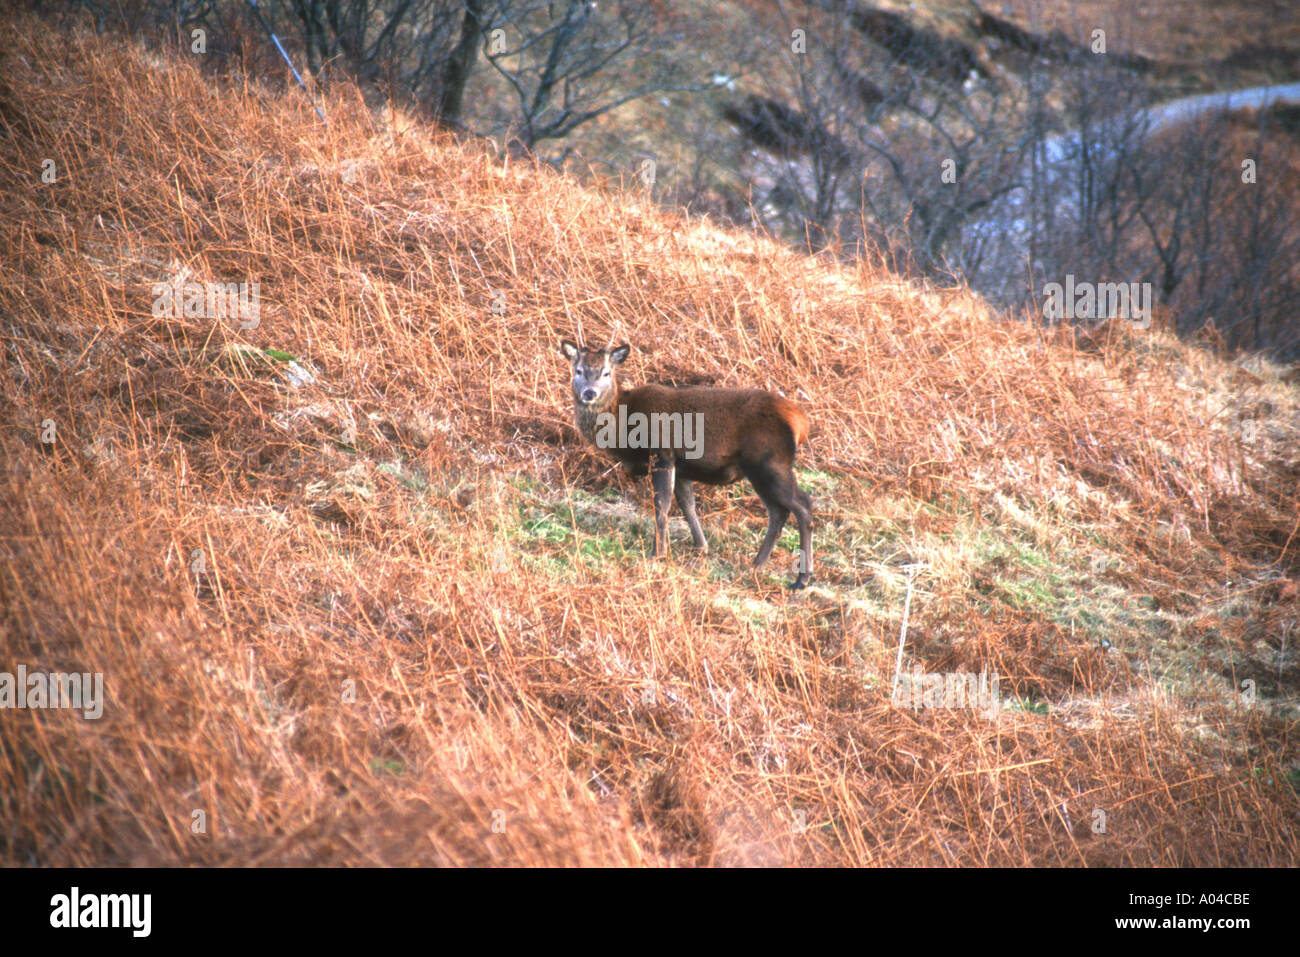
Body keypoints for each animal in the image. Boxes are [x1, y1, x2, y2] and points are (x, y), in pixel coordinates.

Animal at [560, 328, 813, 589]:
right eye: (578, 371)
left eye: (606, 372)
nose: (590, 393)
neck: (623, 424)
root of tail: (801, 423)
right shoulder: (682, 468)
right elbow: (687, 505)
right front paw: (702, 547)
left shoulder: (662, 454)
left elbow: (661, 505)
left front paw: (657, 554)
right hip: (761, 469)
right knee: (778, 512)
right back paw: (756, 565)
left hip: (769, 462)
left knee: (803, 505)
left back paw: (801, 578)